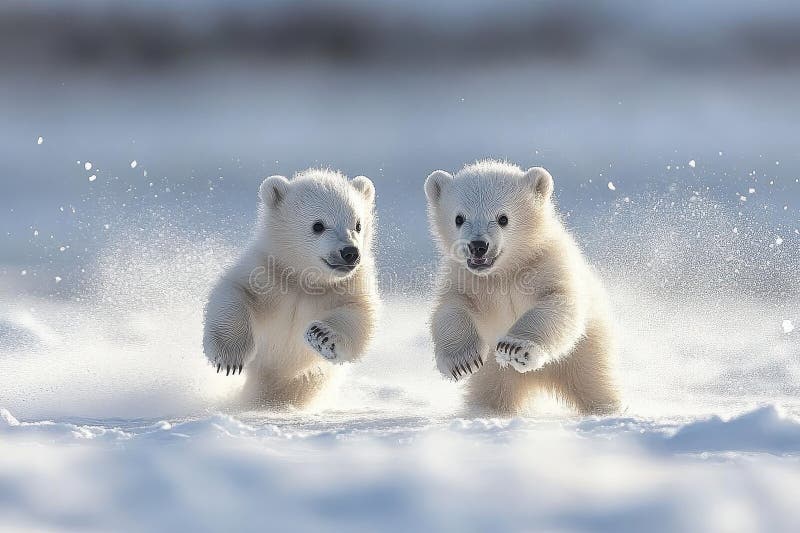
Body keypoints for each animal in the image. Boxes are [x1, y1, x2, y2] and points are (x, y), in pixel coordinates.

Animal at [203, 168, 378, 407]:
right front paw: (230, 357)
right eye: (318, 225)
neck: (303, 279)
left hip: (306, 380)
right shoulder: (268, 275)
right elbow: (234, 292)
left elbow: (360, 314)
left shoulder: (347, 285)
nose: (350, 252)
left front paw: (321, 335)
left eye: (358, 224)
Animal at [424, 160, 620, 416]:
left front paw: (514, 348)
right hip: (494, 372)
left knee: (597, 384)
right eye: (459, 218)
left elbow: (558, 302)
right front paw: (462, 361)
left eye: (503, 218)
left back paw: (607, 409)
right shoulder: (464, 277)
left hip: (584, 351)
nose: (478, 246)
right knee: (489, 394)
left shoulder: (547, 263)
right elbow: (451, 309)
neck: (505, 271)